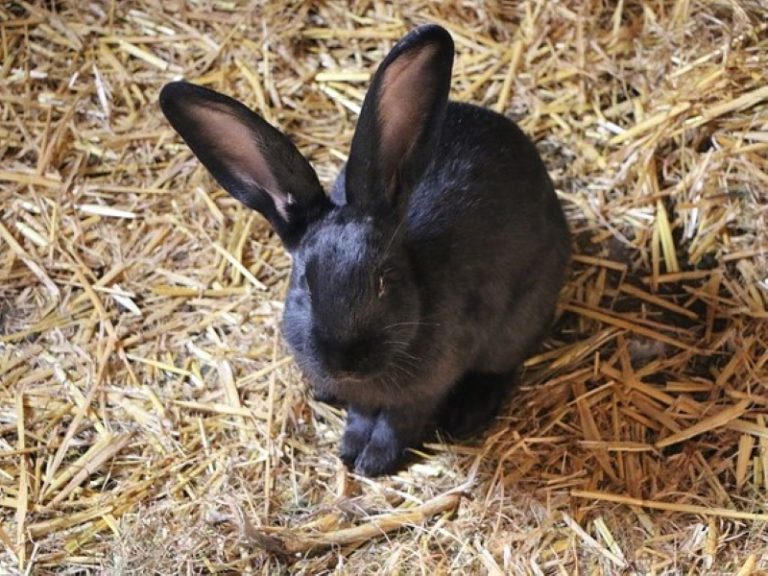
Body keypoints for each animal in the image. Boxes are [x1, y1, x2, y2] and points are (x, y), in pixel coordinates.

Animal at [159, 24, 570, 477]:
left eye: (384, 281)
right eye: (304, 284)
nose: (345, 360)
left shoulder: (424, 390)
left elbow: (398, 420)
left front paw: (372, 461)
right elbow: (362, 412)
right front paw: (352, 449)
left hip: (523, 314)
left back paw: (466, 413)